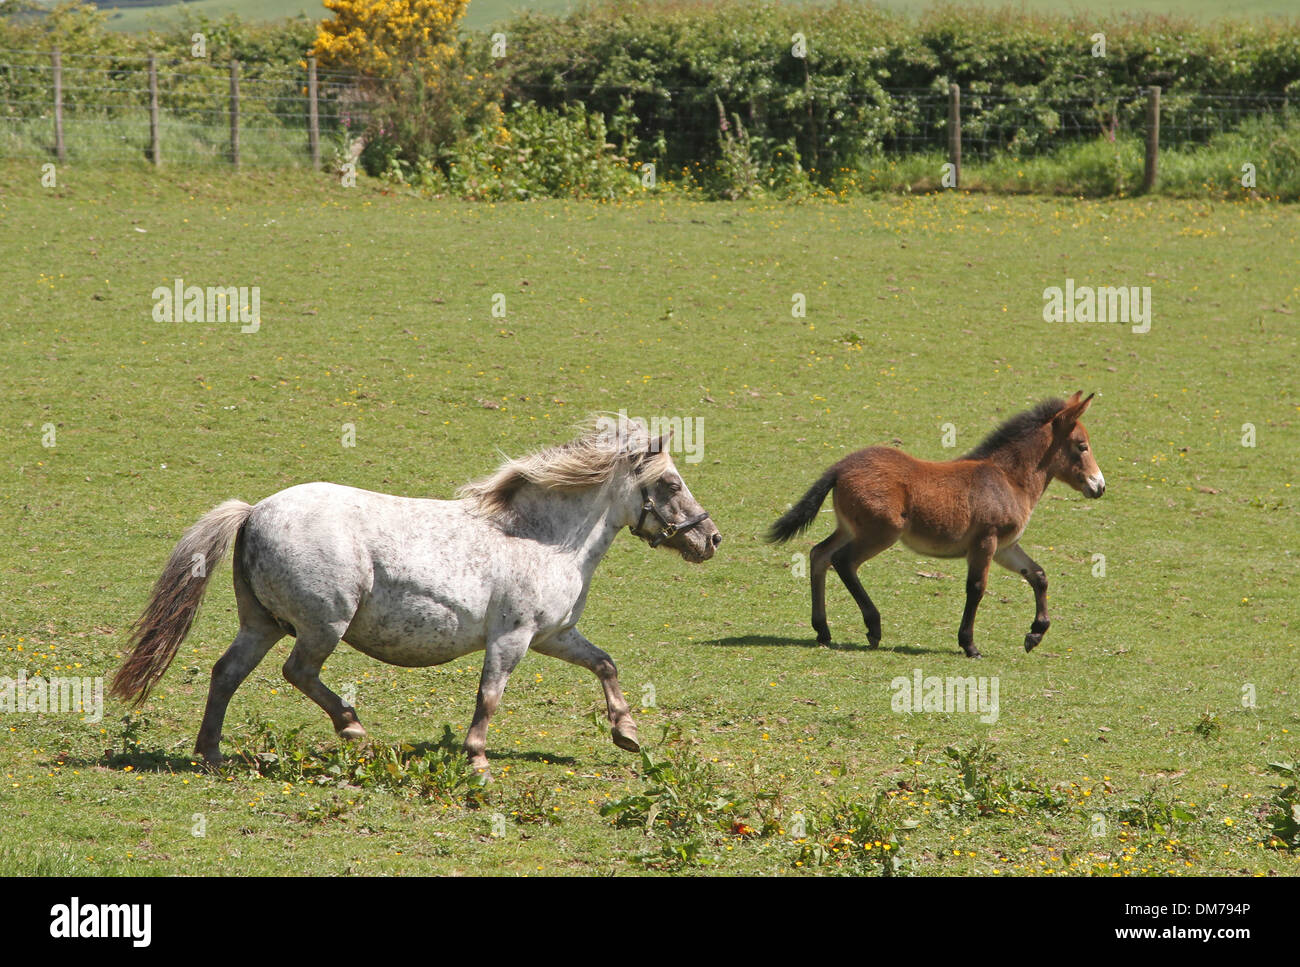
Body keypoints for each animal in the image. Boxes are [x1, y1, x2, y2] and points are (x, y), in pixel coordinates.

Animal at [110, 416, 722, 773]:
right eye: (670, 483)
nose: (710, 538)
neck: (543, 539)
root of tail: (254, 510)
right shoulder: (513, 638)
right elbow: (489, 697)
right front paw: (477, 760)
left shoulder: (555, 635)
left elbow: (605, 664)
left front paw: (627, 733)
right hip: (322, 626)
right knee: (298, 673)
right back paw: (354, 729)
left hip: (261, 624)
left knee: (226, 673)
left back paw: (211, 753)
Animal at [767, 393, 1104, 657]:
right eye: (1082, 446)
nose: (1099, 486)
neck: (1007, 479)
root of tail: (840, 467)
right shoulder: (986, 541)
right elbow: (976, 588)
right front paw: (969, 645)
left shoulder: (1005, 547)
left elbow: (1038, 575)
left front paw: (1034, 634)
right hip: (881, 532)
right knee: (842, 561)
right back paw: (873, 627)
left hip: (850, 528)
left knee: (819, 554)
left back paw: (823, 630)